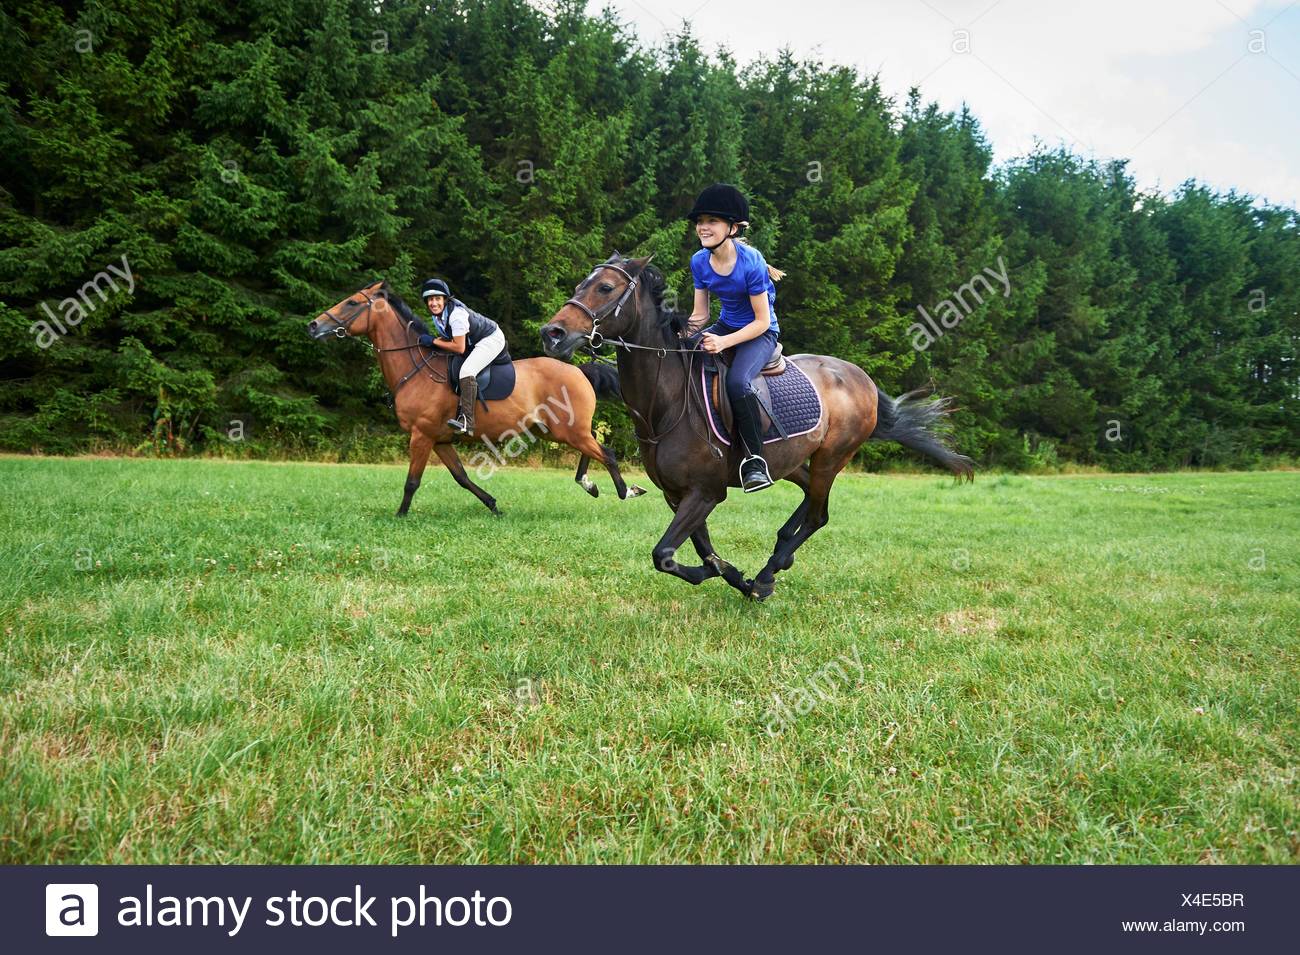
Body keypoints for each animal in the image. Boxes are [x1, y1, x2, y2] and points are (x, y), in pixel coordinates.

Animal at [307, 279, 646, 516]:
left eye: (351, 302)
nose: (313, 325)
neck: (415, 369)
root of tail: (579, 372)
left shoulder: (421, 435)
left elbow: (412, 481)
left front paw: (400, 515)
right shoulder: (439, 440)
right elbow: (462, 478)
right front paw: (493, 504)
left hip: (568, 430)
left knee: (606, 453)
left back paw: (626, 491)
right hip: (558, 430)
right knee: (593, 449)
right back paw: (589, 485)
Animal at [539, 254, 974, 600]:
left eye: (605, 287)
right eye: (579, 286)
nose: (552, 333)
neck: (668, 402)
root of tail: (861, 377)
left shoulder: (706, 493)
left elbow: (663, 555)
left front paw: (735, 576)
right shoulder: (676, 495)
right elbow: (699, 550)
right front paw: (731, 574)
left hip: (831, 458)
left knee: (818, 515)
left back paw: (770, 572)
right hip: (791, 461)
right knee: (810, 501)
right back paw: (776, 559)